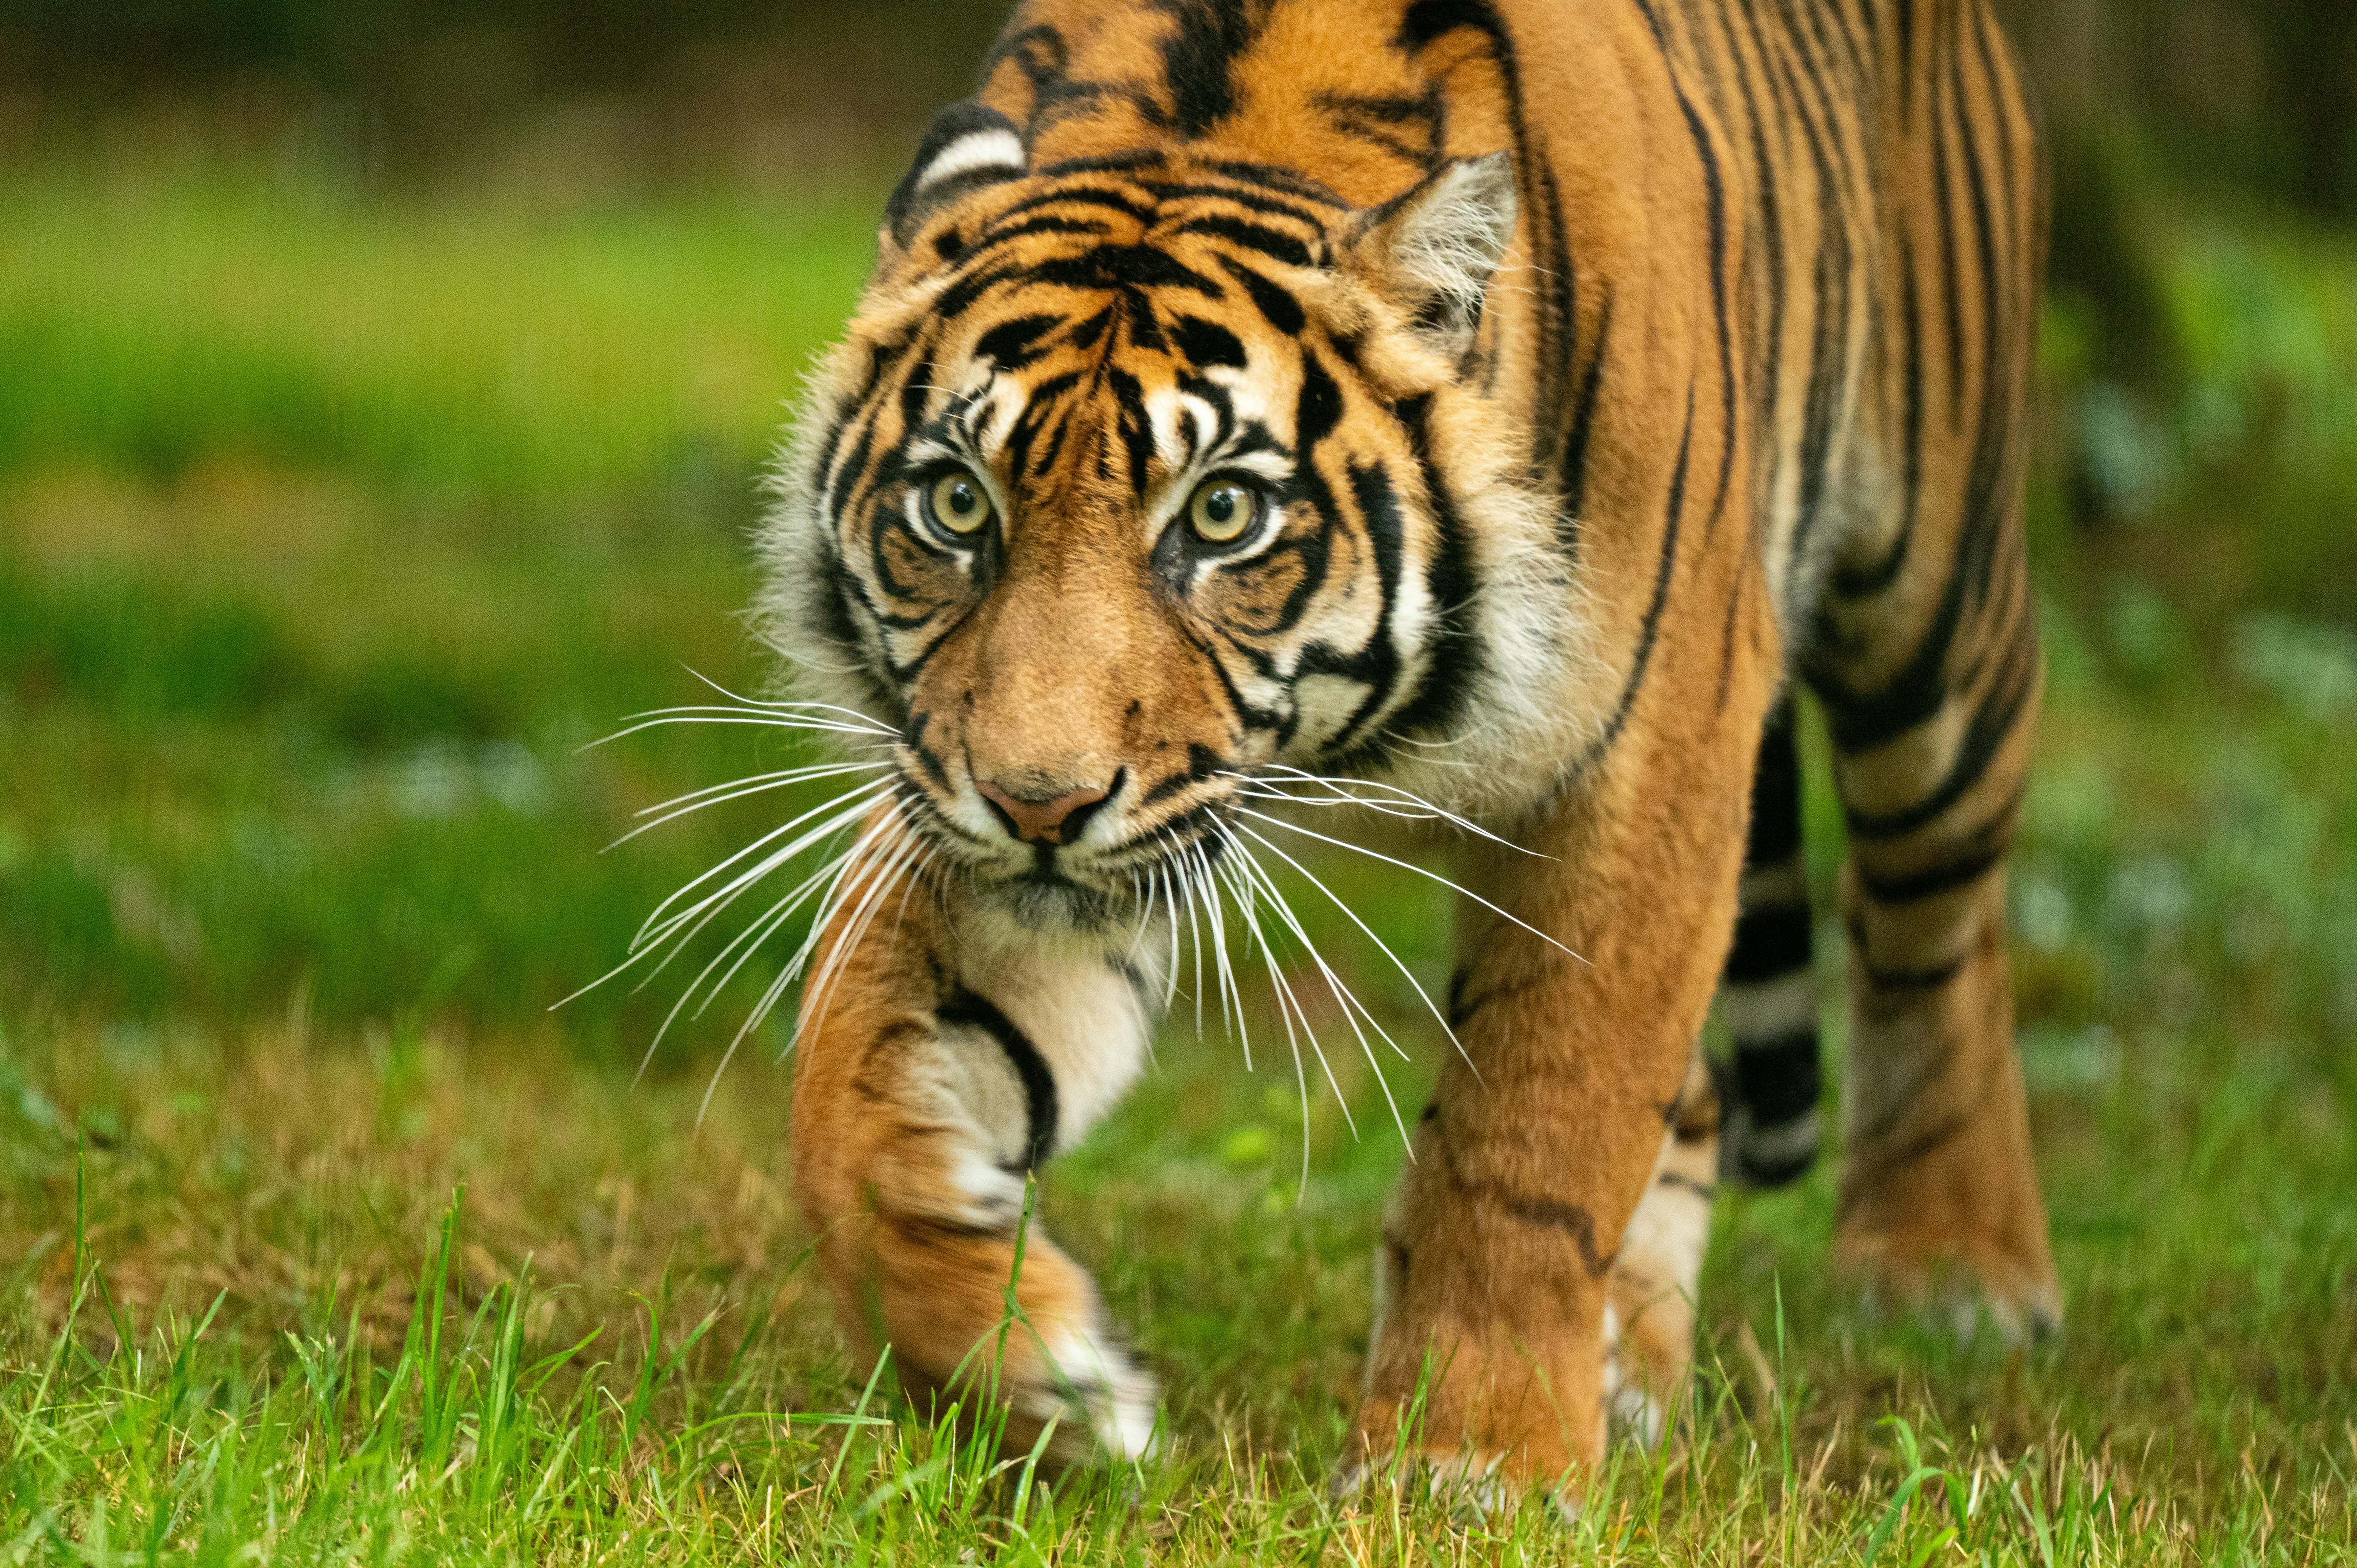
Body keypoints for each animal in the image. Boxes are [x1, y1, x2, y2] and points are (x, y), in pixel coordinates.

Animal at [756, 0, 2060, 1495]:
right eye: (957, 504)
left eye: (1222, 516)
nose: (1039, 801)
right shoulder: (999, 803)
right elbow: (846, 1093)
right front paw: (1035, 1381)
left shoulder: (1650, 757)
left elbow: (1538, 1126)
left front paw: (1475, 1462)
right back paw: (1638, 1362)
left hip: (1936, 608)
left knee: (1937, 922)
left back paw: (1950, 1267)